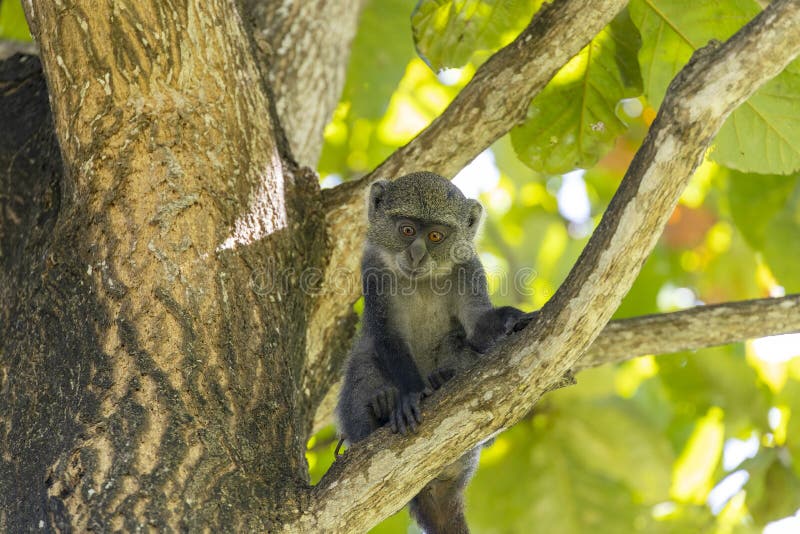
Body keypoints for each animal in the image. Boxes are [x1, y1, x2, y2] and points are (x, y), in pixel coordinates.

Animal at [336, 171, 532, 534]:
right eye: (407, 230)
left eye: (436, 236)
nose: (416, 254)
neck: (423, 280)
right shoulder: (373, 268)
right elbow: (387, 338)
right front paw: (411, 396)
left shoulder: (468, 267)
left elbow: (476, 328)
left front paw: (512, 318)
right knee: (364, 358)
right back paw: (381, 408)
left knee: (457, 340)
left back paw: (442, 380)